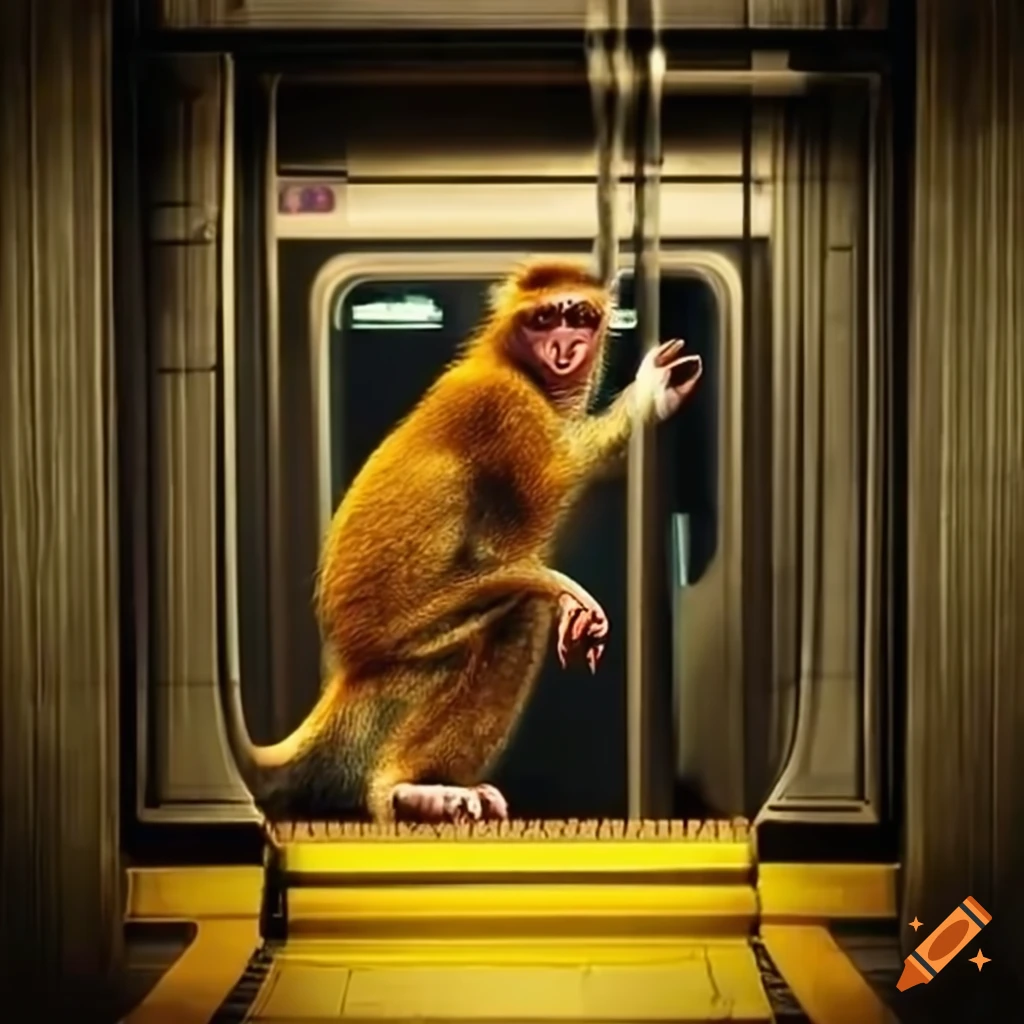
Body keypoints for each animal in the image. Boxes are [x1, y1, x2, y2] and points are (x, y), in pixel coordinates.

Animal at [220, 258, 703, 825]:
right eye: (545, 319)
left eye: (579, 317)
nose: (565, 347)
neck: (518, 367)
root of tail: (343, 679)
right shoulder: (509, 408)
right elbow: (519, 535)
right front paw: (648, 396)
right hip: (400, 650)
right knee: (515, 603)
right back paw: (408, 785)